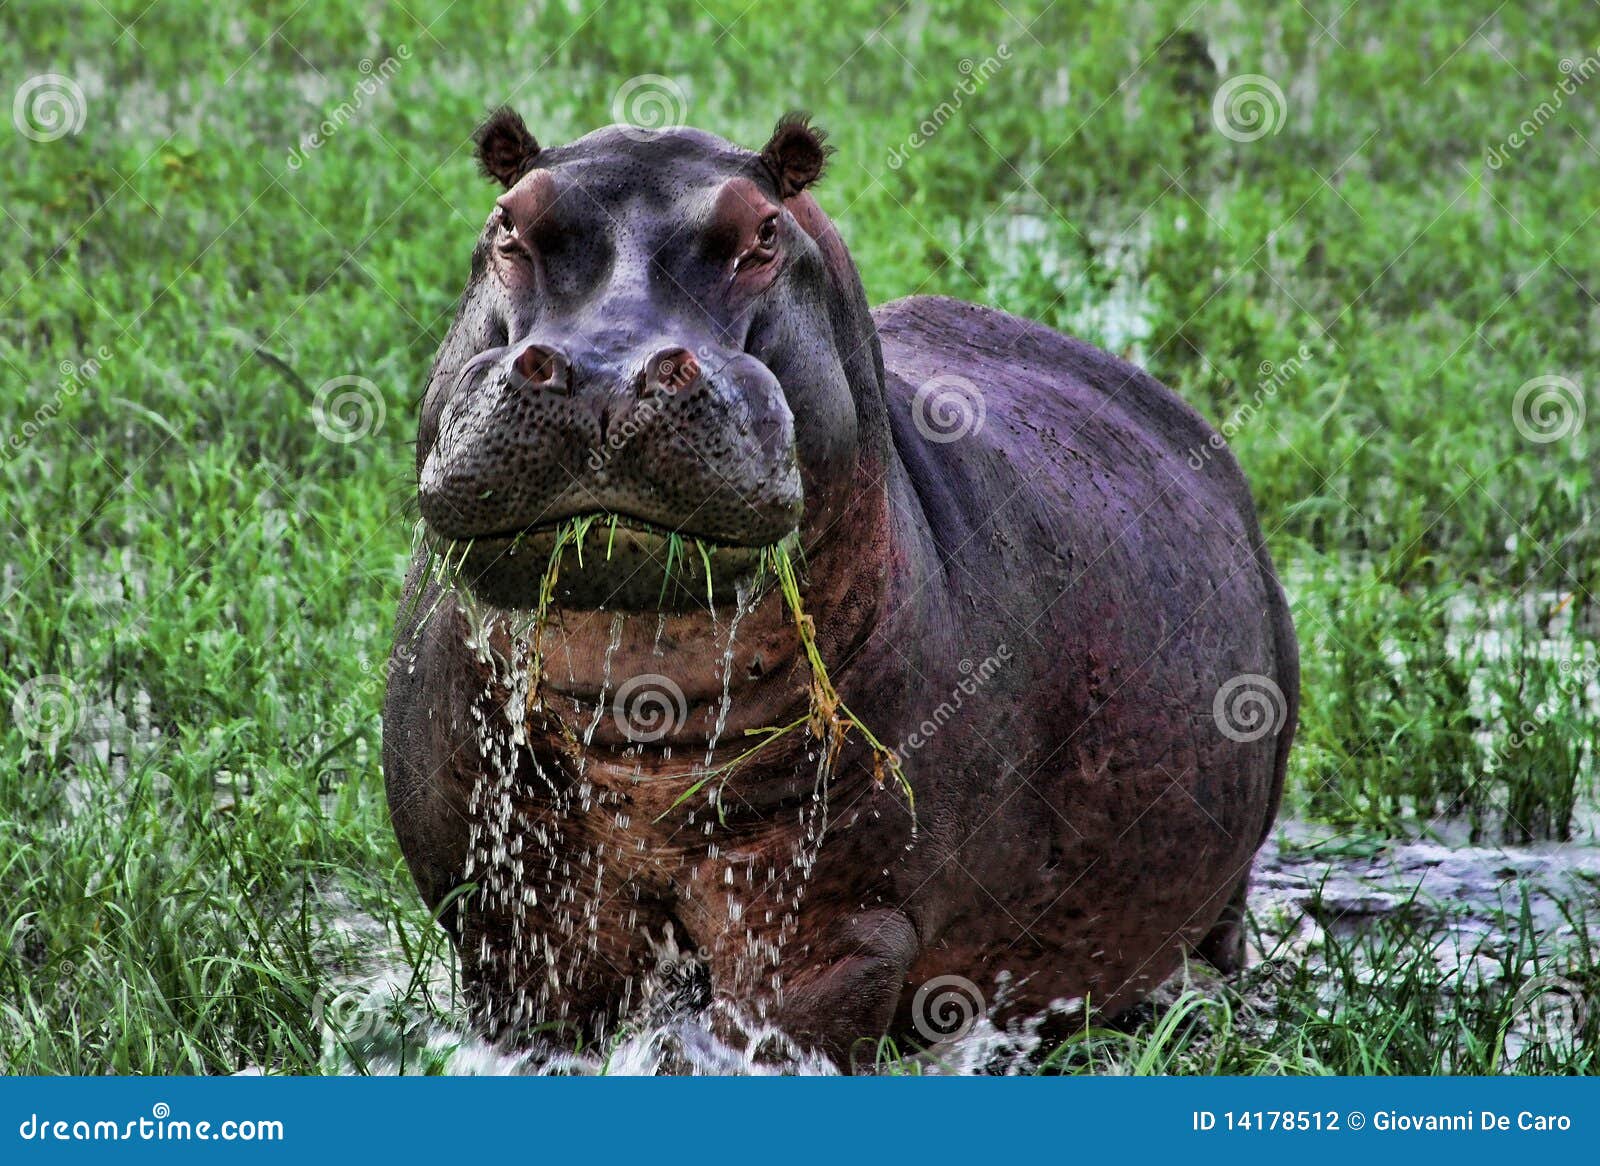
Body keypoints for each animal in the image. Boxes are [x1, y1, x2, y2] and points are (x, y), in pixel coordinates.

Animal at [381, 108, 1298, 1068]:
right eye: (510, 222)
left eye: (763, 234)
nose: (604, 369)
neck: (641, 704)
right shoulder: (517, 912)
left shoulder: (833, 928)